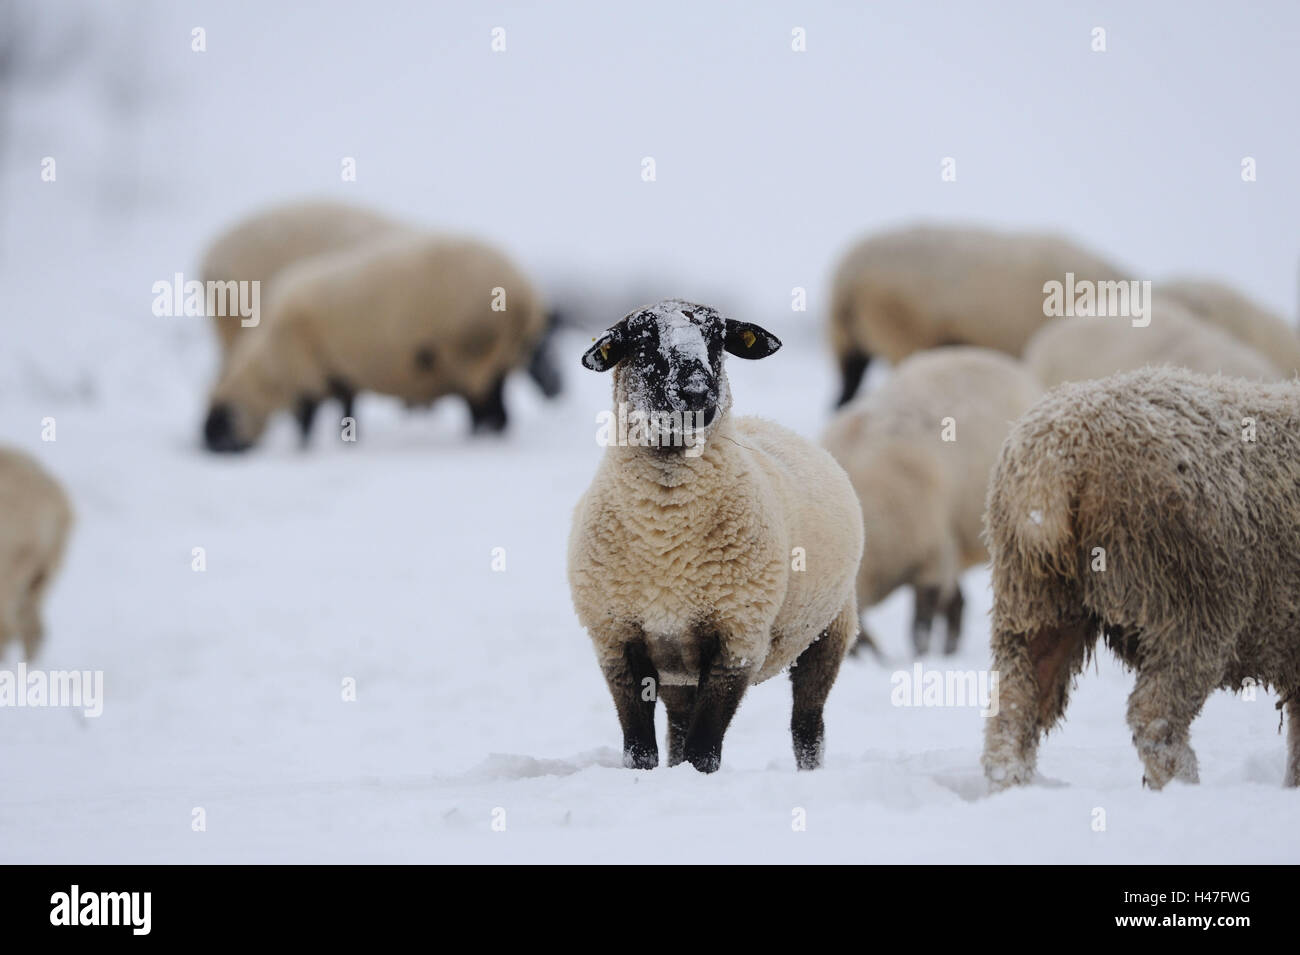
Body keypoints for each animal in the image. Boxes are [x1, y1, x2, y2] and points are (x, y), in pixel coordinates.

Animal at [202, 232, 557, 452]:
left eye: (220, 423)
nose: (210, 447)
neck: (268, 367)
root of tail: (525, 296)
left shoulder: (305, 370)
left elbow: (307, 418)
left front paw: (304, 448)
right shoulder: (337, 371)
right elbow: (346, 410)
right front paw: (345, 442)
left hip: (475, 354)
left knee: (489, 408)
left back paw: (478, 438)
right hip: (496, 355)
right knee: (492, 408)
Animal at [567, 299, 864, 773]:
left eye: (718, 341)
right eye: (642, 341)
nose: (696, 393)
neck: (666, 534)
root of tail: (769, 424)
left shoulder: (737, 640)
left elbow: (704, 749)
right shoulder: (616, 641)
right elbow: (640, 748)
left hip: (830, 630)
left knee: (807, 725)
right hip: (678, 669)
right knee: (678, 728)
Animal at [982, 366, 1300, 791]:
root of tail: (1057, 457)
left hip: (1034, 596)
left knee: (1016, 704)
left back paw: (1011, 784)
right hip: (1188, 603)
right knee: (1154, 716)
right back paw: (1182, 786)